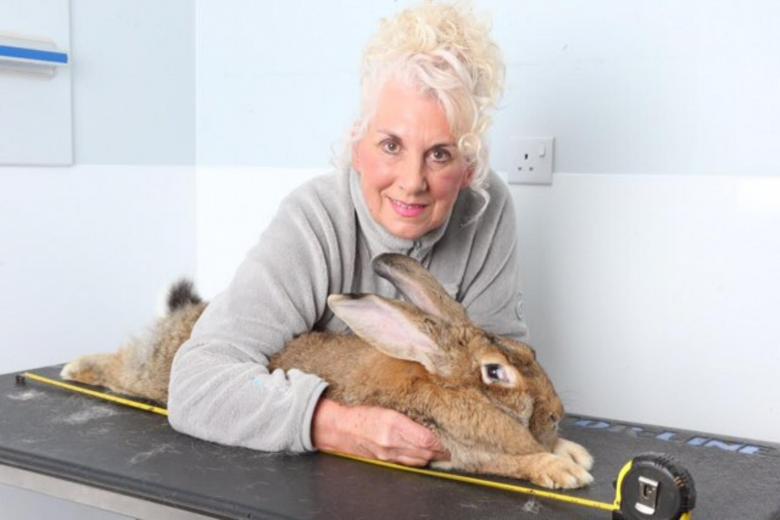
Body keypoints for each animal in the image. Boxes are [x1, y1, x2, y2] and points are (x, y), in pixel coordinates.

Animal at [61, 253, 593, 489]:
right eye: (496, 373)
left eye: (528, 351)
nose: (556, 414)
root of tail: (184, 318)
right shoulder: (453, 451)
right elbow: (506, 462)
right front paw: (563, 471)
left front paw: (574, 452)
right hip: (151, 376)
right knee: (118, 366)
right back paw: (75, 366)